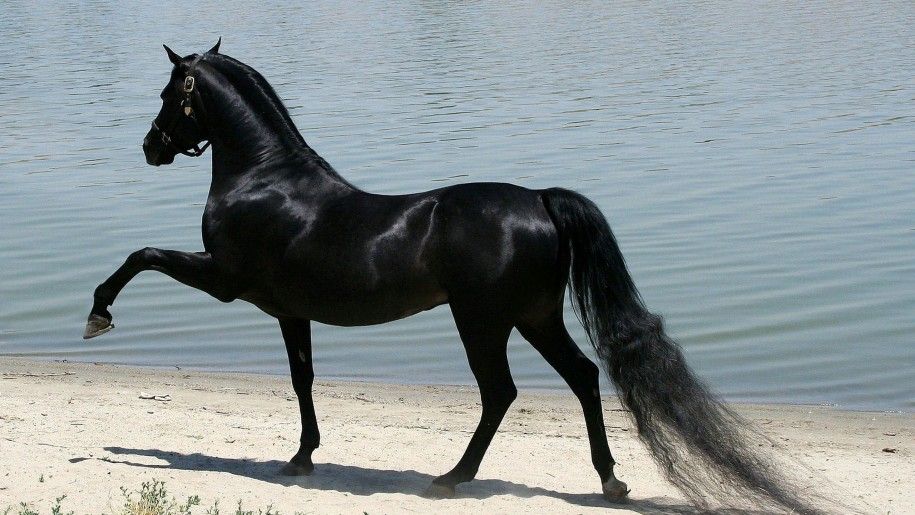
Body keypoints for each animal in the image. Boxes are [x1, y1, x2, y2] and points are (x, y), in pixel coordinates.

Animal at [84, 41, 818, 513]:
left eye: (168, 94)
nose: (150, 147)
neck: (265, 178)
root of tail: (540, 200)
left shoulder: (226, 279)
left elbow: (141, 255)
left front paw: (98, 314)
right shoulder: (290, 311)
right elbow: (302, 379)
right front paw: (302, 457)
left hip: (484, 321)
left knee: (501, 393)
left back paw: (452, 477)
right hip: (535, 316)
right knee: (582, 377)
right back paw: (608, 481)